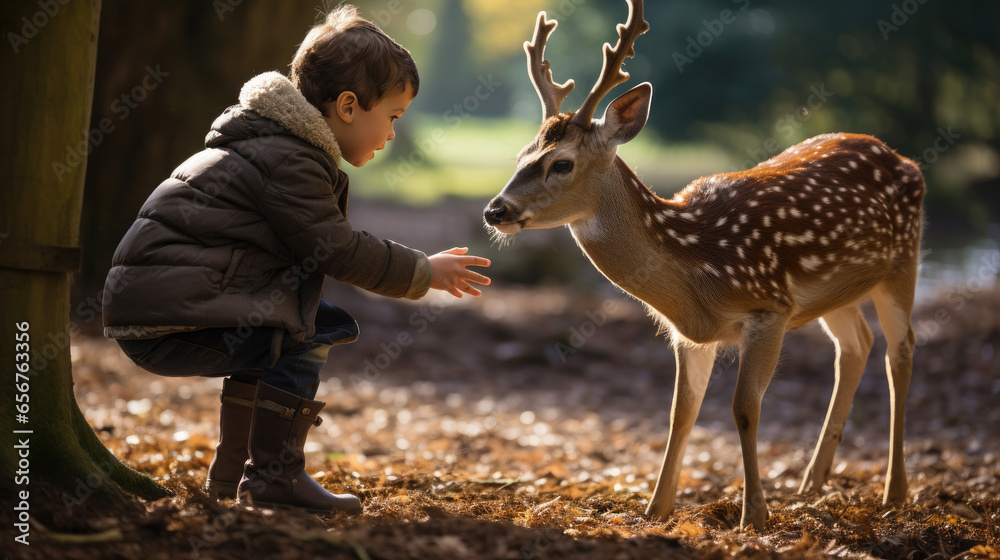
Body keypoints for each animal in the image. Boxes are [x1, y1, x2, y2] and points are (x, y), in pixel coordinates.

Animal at [483, 0, 923, 532]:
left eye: (561, 163)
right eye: (522, 155)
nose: (495, 211)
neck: (697, 269)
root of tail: (905, 159)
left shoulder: (770, 307)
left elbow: (744, 409)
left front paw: (753, 516)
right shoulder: (691, 334)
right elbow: (682, 412)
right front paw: (655, 510)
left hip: (902, 263)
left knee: (900, 351)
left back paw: (894, 492)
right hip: (836, 293)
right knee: (856, 345)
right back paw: (810, 486)